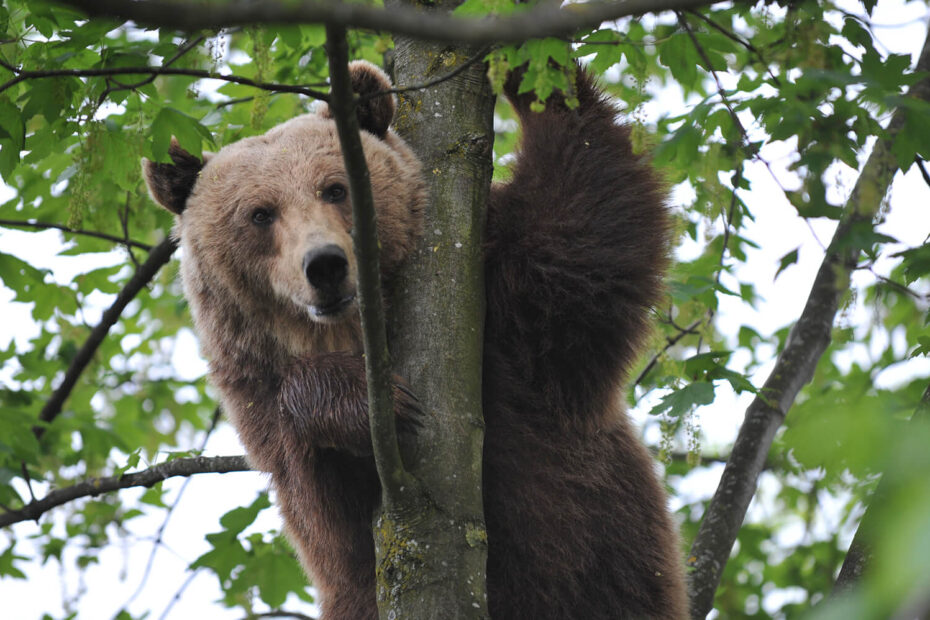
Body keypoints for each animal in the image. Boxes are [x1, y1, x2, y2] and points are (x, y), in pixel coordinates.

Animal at [144, 59, 688, 619]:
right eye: (259, 213)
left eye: (335, 188)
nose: (325, 265)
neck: (350, 329)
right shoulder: (256, 401)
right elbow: (323, 501)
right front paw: (373, 399)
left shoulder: (506, 316)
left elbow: (581, 241)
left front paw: (528, 69)